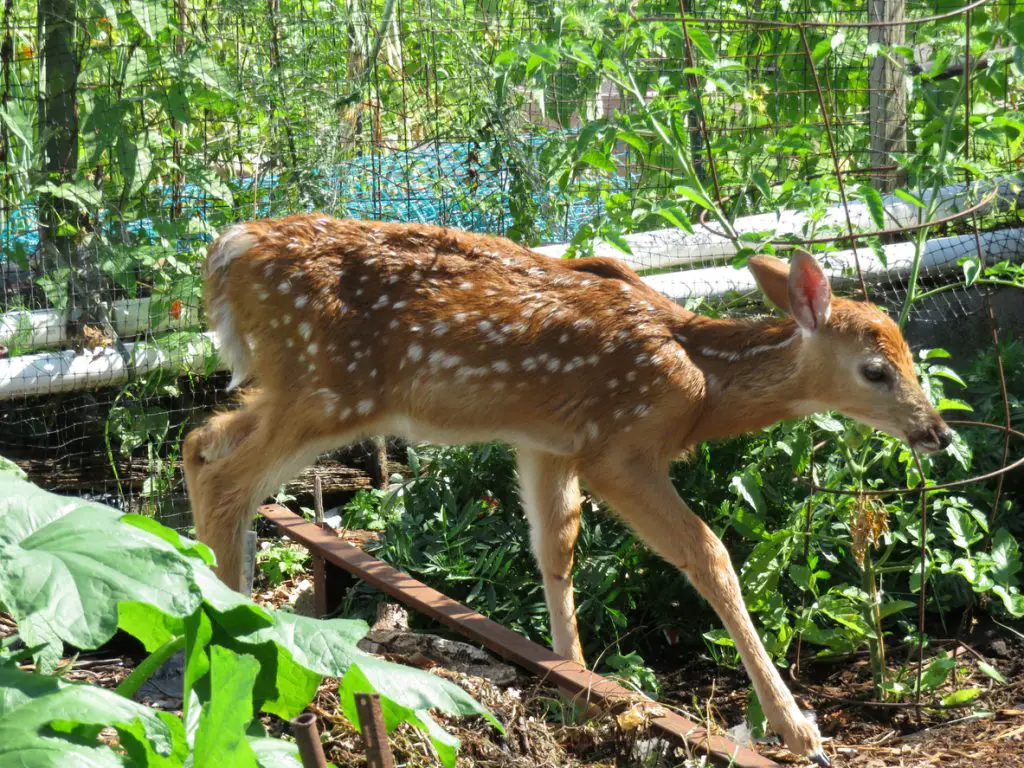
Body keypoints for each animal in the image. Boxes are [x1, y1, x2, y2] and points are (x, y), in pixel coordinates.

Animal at [183, 213, 954, 766]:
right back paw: (229, 653)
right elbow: (708, 554)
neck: (703, 386)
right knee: (223, 474)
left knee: (202, 445)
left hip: (298, 388)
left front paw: (579, 688)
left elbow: (555, 547)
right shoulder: (619, 446)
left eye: (911, 357)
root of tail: (225, 253)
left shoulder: (546, 442)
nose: (938, 432)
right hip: (329, 386)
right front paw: (800, 731)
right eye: (875, 370)